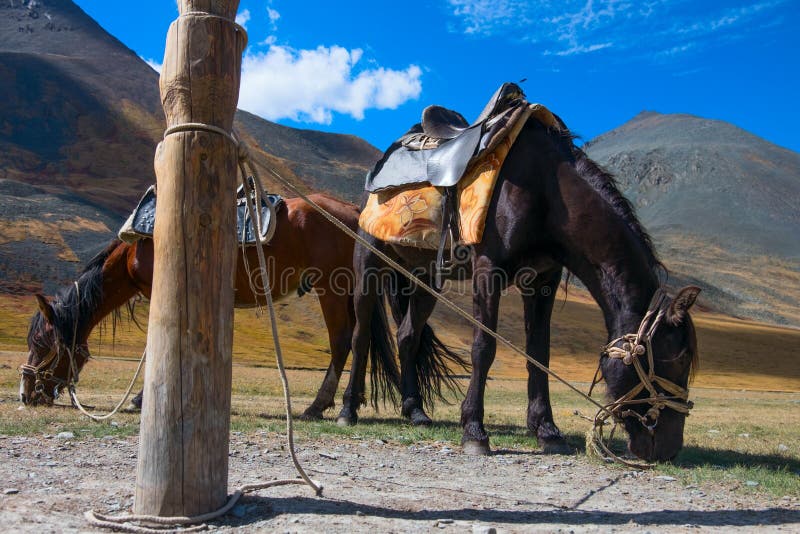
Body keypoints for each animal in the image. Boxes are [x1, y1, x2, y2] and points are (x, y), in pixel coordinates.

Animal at [19, 193, 403, 418]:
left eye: (42, 344)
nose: (26, 394)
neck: (137, 247)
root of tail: (353, 212)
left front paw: (142, 398)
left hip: (330, 287)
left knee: (342, 340)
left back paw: (319, 406)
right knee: (361, 338)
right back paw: (350, 402)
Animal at [337, 115, 700, 462]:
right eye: (679, 358)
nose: (669, 448)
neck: (548, 193)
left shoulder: (542, 281)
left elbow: (539, 352)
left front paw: (548, 431)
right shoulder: (488, 271)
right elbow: (483, 348)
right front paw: (474, 431)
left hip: (425, 278)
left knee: (408, 336)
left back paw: (415, 411)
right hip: (369, 262)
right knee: (361, 334)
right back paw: (347, 410)